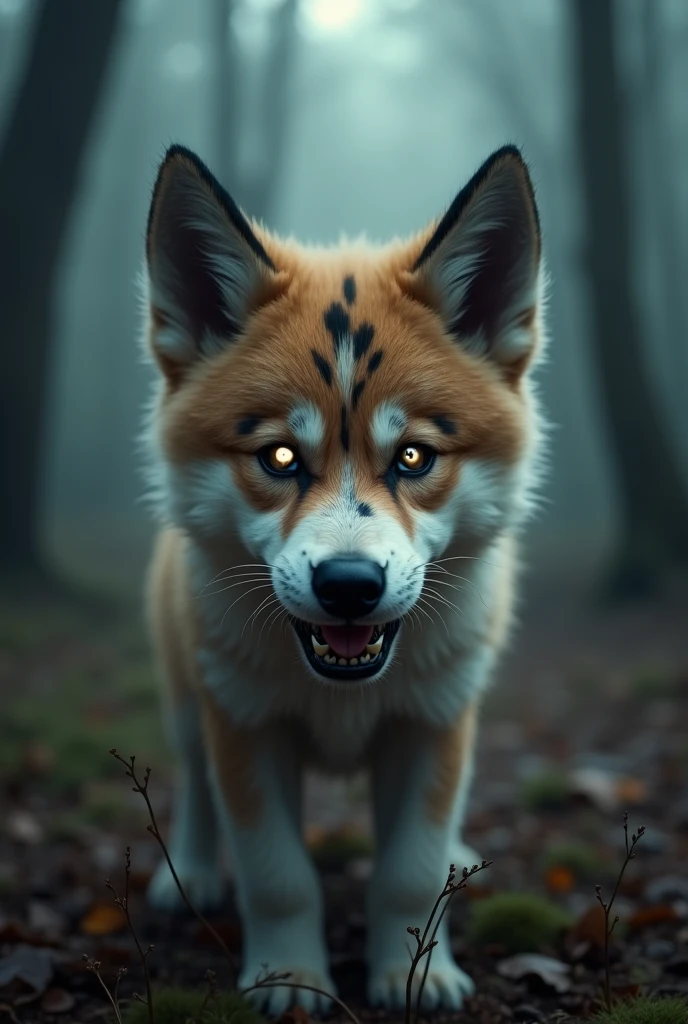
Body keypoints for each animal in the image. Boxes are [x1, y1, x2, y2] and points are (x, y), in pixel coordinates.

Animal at [141, 143, 545, 1014]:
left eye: (415, 456)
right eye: (279, 457)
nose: (351, 585)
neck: (340, 694)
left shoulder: (433, 721)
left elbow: (410, 868)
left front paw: (415, 976)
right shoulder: (245, 722)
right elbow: (279, 874)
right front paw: (292, 980)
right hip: (186, 693)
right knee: (192, 784)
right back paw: (190, 875)